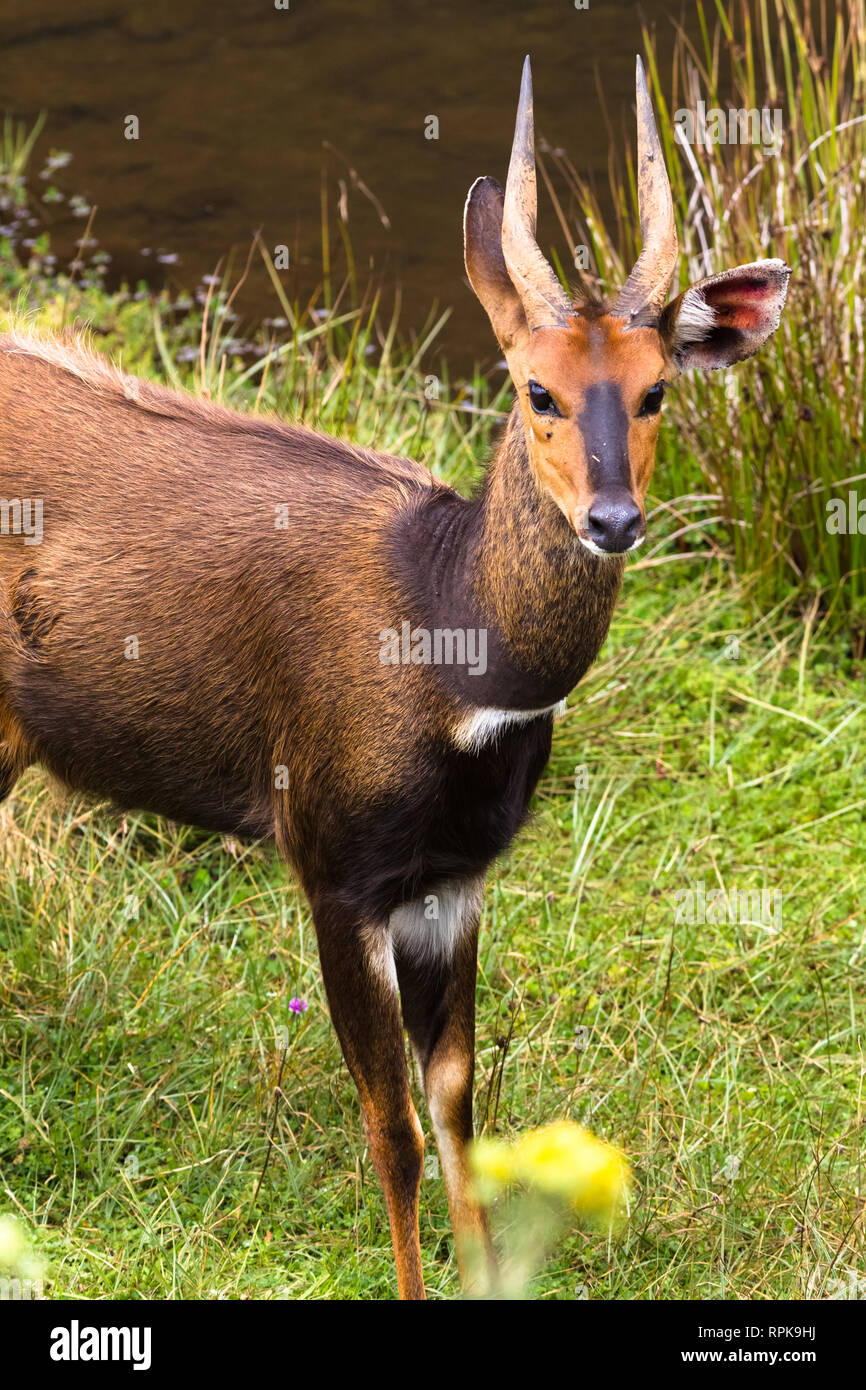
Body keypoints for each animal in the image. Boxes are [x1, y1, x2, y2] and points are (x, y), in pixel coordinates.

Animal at [0, 56, 788, 1299]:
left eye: (656, 388)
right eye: (533, 389)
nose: (612, 518)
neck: (448, 647)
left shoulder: (453, 881)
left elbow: (458, 1107)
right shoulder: (332, 861)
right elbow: (394, 1129)